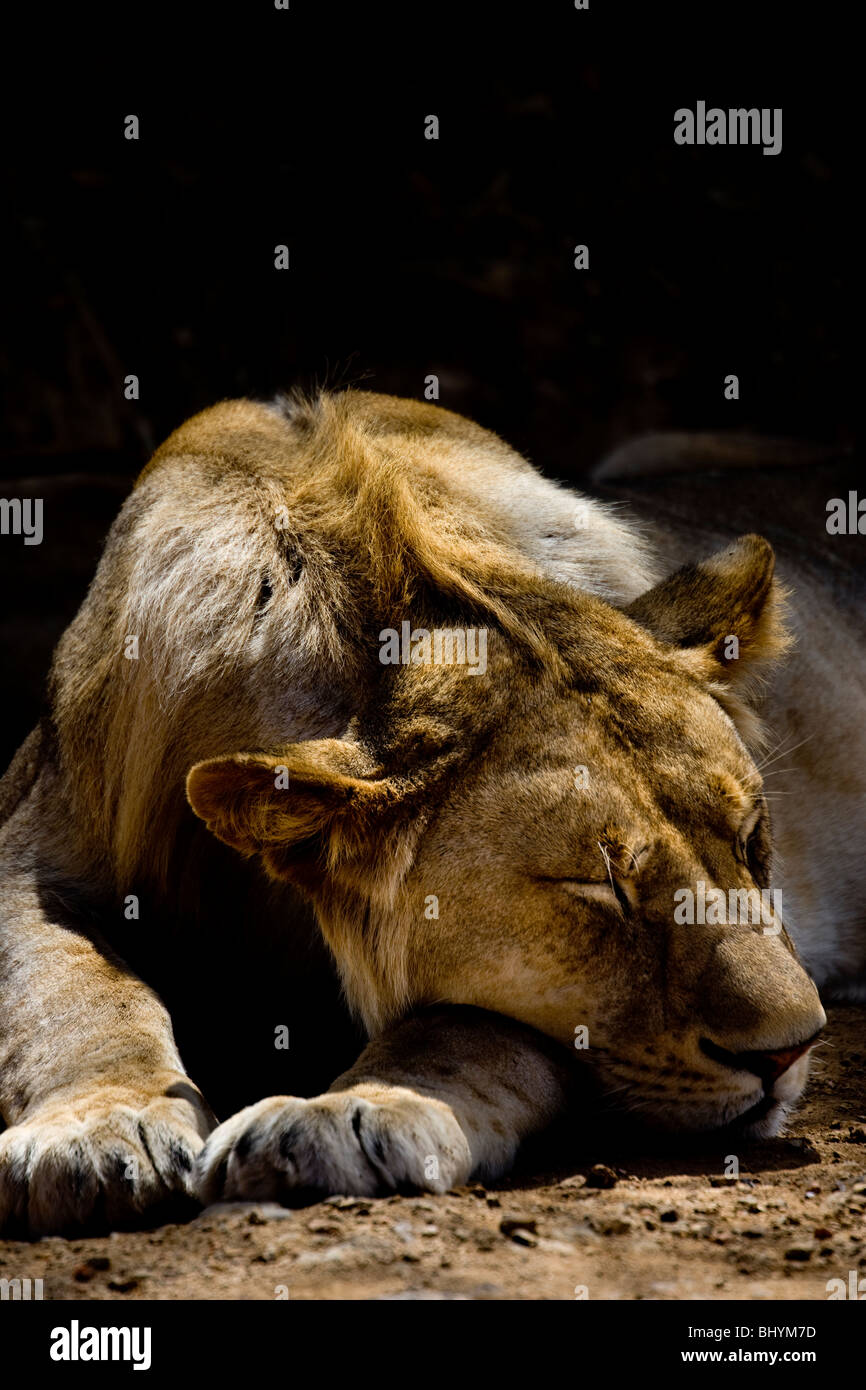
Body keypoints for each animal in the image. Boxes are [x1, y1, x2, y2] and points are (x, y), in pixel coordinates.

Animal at [0, 389, 861, 1236]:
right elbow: (71, 995)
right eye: (599, 886)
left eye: (751, 840)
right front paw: (102, 1131)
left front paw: (344, 1116)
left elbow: (459, 1030)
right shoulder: (28, 848)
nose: (792, 1052)